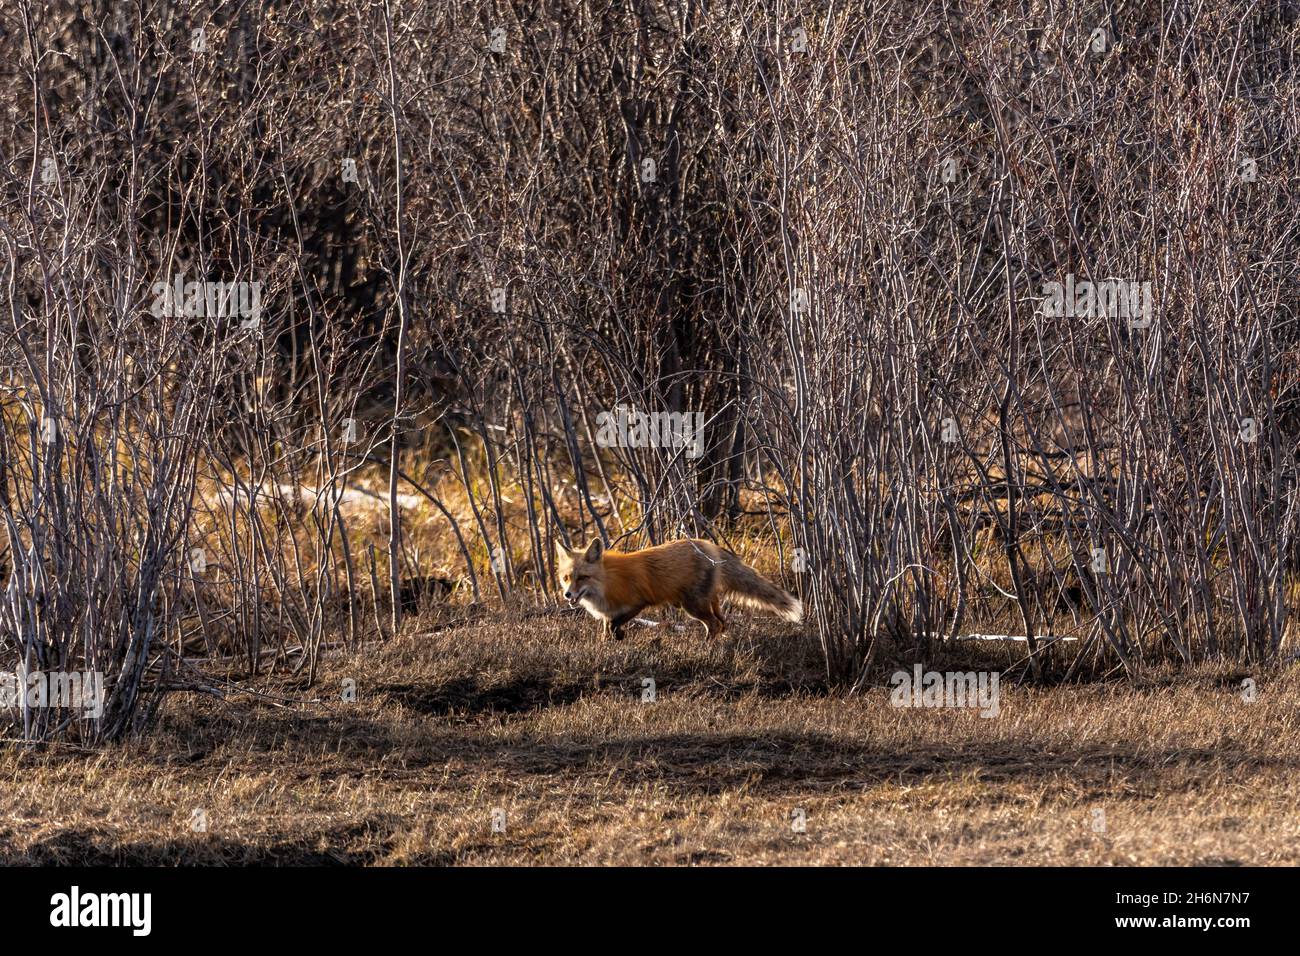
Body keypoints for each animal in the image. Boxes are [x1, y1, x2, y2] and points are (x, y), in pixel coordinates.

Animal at [555, 537, 803, 640]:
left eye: (582, 578)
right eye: (566, 578)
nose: (568, 595)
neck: (606, 582)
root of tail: (709, 545)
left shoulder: (638, 602)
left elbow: (616, 625)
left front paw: (620, 637)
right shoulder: (608, 613)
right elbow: (607, 630)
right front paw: (609, 645)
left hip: (692, 606)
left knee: (714, 625)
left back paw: (705, 648)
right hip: (707, 601)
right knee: (722, 623)